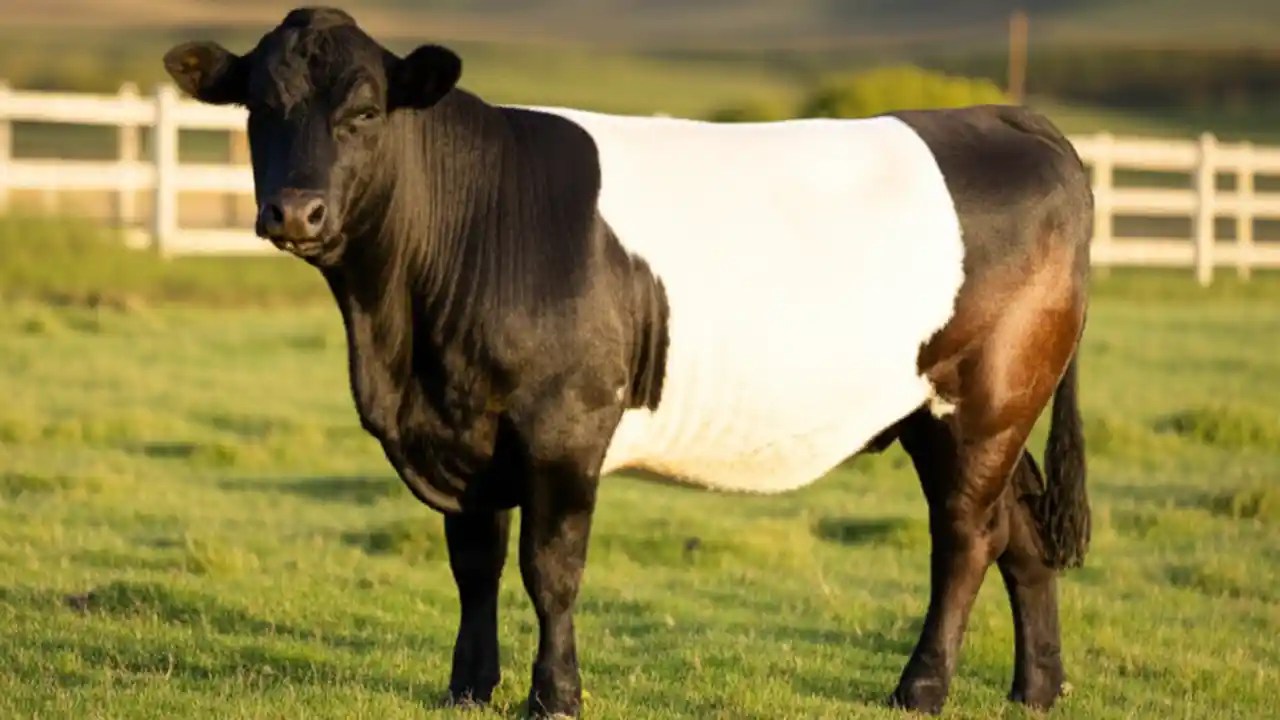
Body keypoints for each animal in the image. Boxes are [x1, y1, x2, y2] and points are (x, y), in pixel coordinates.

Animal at [163, 7, 1093, 717]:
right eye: (258, 108)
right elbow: (474, 562)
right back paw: (1035, 690)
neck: (399, 343)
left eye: (363, 112)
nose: (295, 211)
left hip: (985, 397)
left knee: (965, 536)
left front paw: (554, 696)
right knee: (1019, 533)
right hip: (962, 410)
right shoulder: (465, 429)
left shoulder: (565, 423)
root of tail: (1012, 117)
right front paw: (468, 688)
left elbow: (550, 570)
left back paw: (921, 689)